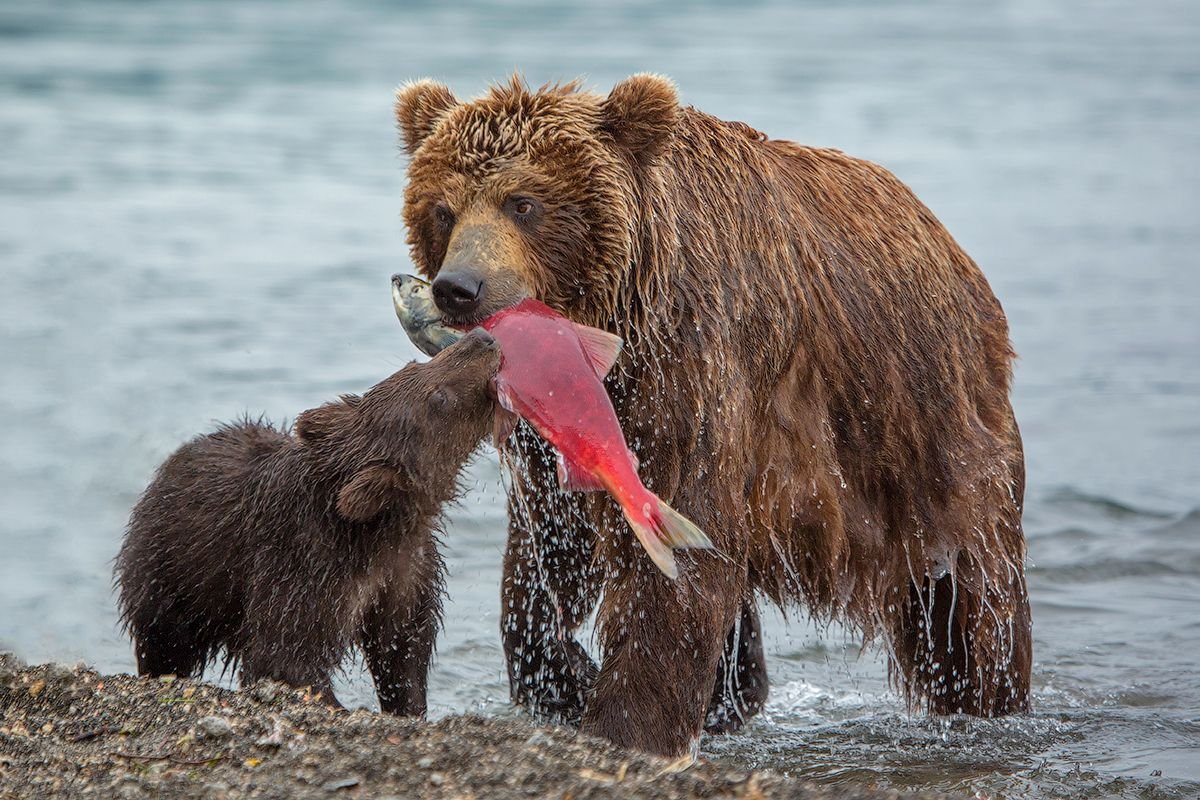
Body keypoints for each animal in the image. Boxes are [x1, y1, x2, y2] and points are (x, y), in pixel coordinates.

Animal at [114, 328, 499, 714]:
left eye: (414, 365)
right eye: (438, 398)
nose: (483, 338)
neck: (377, 534)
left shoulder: (407, 571)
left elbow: (403, 647)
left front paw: (408, 705)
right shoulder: (306, 564)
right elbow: (286, 655)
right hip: (171, 570)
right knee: (165, 640)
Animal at [393, 74, 1032, 758]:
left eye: (524, 202)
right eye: (443, 209)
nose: (459, 288)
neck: (619, 316)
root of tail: (947, 242)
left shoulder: (692, 371)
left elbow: (676, 564)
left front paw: (627, 722)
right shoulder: (561, 437)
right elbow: (547, 557)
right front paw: (567, 680)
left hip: (924, 435)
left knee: (971, 602)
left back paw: (987, 699)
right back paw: (734, 697)